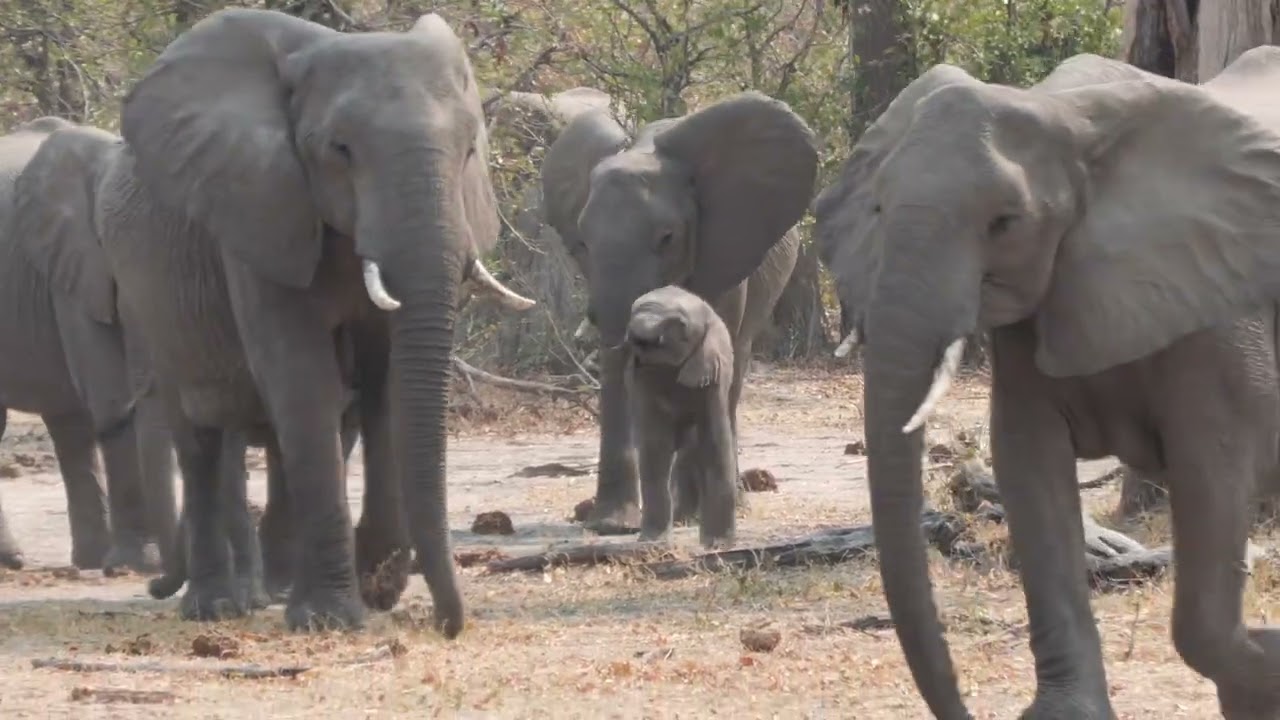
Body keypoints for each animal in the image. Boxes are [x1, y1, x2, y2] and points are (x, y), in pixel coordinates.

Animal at [623, 285, 737, 547]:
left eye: (680, 324)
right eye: (632, 311)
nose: (634, 337)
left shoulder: (713, 368)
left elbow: (715, 442)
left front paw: (718, 545)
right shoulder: (644, 378)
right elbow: (655, 446)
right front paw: (653, 542)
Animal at [813, 47, 1280, 718]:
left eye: (1005, 223)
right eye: (877, 210)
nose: (963, 709)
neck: (1061, 113)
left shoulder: (1218, 309)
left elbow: (1214, 470)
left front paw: (1266, 658)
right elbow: (1028, 464)